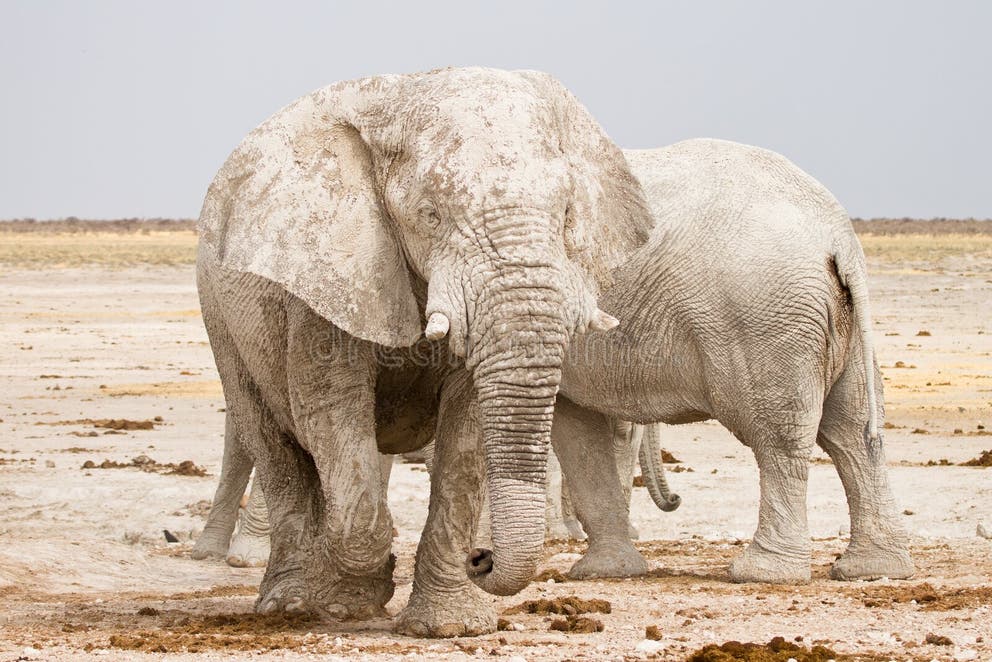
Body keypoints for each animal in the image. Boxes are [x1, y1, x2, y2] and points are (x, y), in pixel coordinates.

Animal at [192, 66, 655, 636]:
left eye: (568, 215)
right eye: (430, 215)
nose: (483, 558)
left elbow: (467, 428)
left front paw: (451, 627)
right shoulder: (328, 277)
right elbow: (329, 409)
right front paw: (348, 601)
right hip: (220, 316)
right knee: (273, 443)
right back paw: (294, 603)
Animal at [553, 139, 914, 583]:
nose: (676, 499)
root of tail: (837, 236)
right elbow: (575, 426)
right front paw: (607, 571)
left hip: (763, 314)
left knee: (780, 434)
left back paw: (762, 572)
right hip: (836, 319)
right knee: (853, 429)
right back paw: (874, 568)